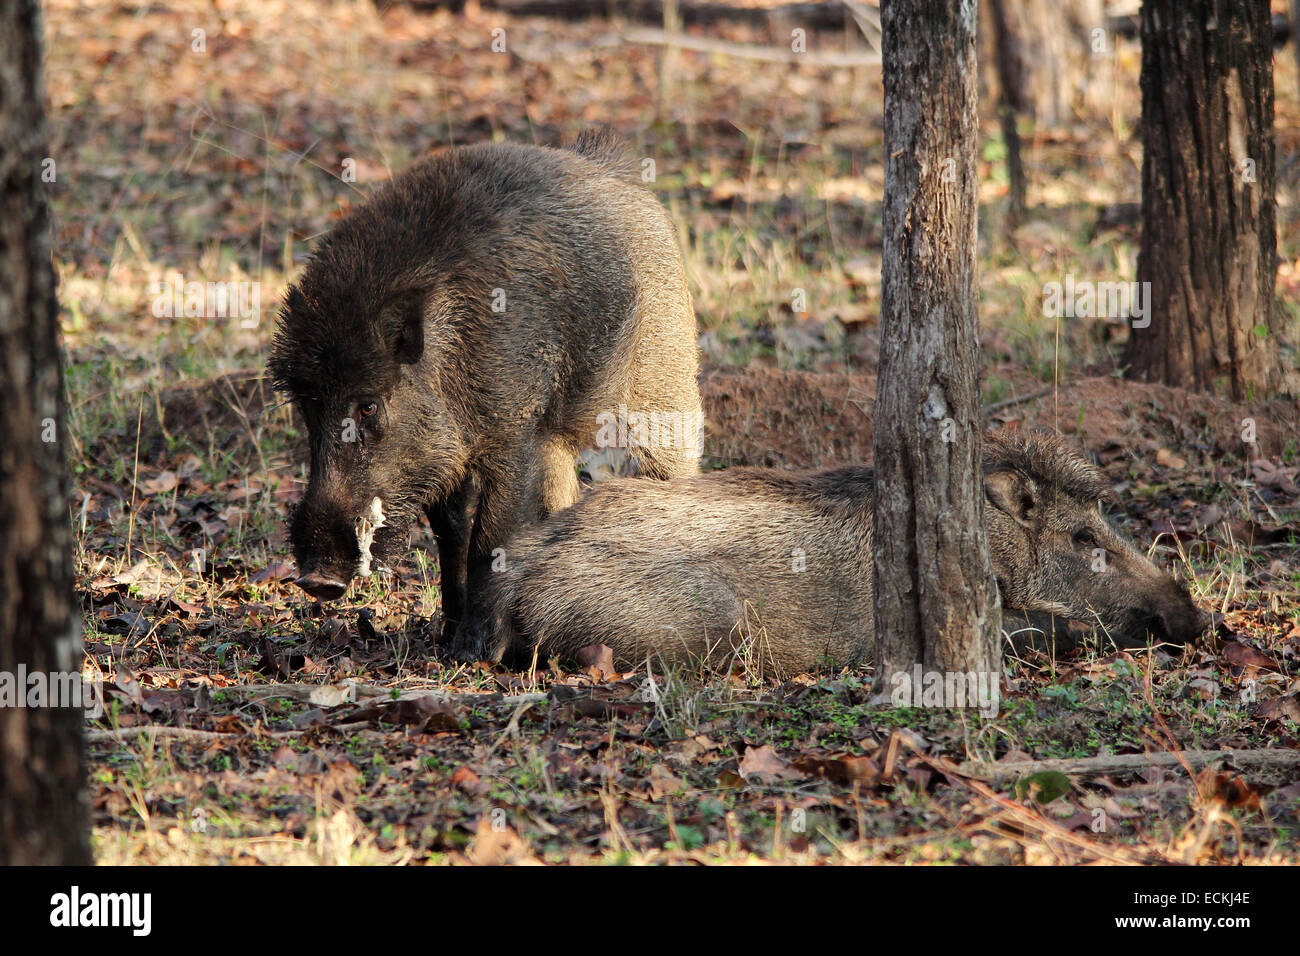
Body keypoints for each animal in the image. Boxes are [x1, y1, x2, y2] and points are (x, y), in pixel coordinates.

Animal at [267, 130, 703, 652]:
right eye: (307, 408)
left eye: (369, 404)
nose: (316, 580)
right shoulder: (447, 455)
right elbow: (451, 538)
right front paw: (446, 639)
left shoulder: (514, 432)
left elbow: (489, 540)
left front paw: (473, 654)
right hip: (561, 436)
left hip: (666, 379)